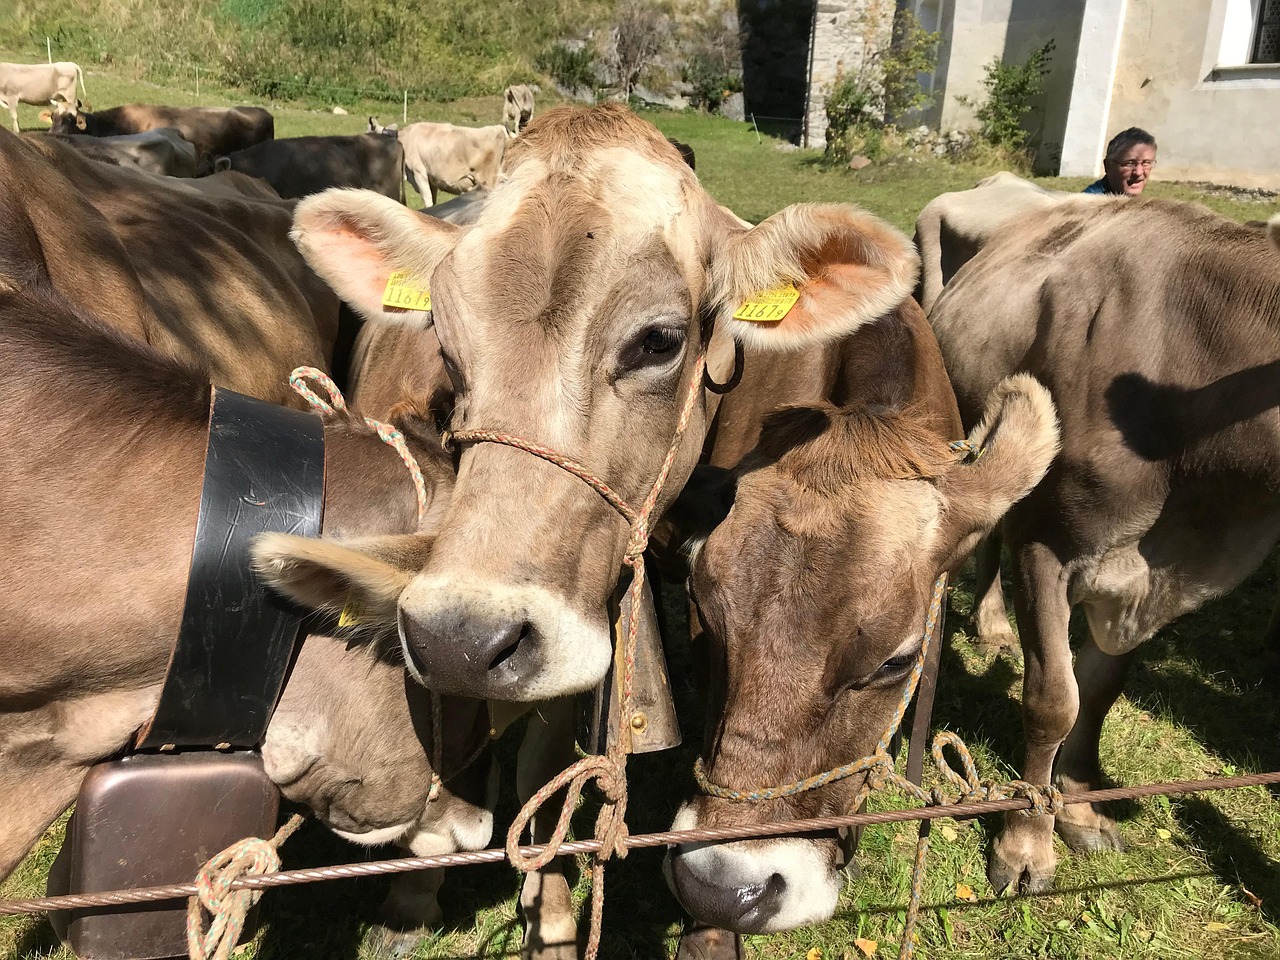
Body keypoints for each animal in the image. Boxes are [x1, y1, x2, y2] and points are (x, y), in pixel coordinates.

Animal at [926, 201, 1280, 895]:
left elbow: (1101, 689)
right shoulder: (1046, 547)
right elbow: (1052, 700)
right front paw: (1026, 842)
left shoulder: (1145, 580)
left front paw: (1082, 806)